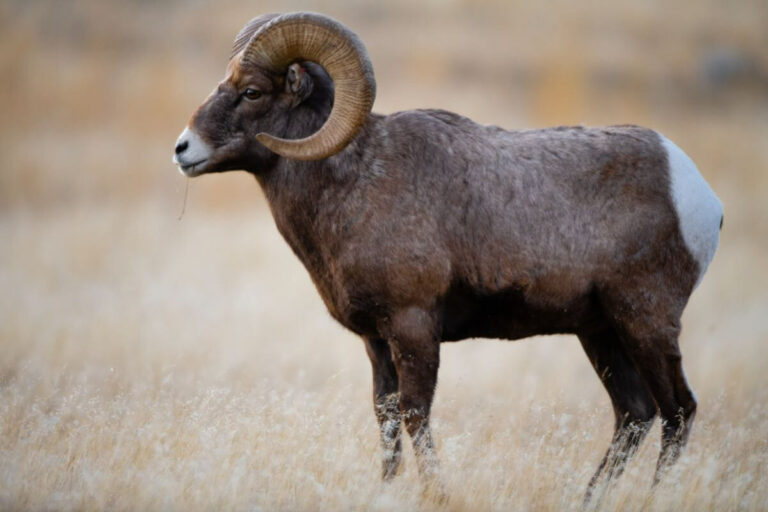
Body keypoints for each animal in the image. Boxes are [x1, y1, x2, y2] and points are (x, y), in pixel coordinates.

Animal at [172, 12, 723, 500]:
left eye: (252, 92)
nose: (183, 149)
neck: (354, 181)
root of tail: (697, 191)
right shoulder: (377, 341)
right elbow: (385, 415)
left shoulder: (414, 325)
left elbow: (415, 413)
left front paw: (436, 493)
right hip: (602, 332)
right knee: (635, 414)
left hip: (645, 324)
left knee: (677, 412)